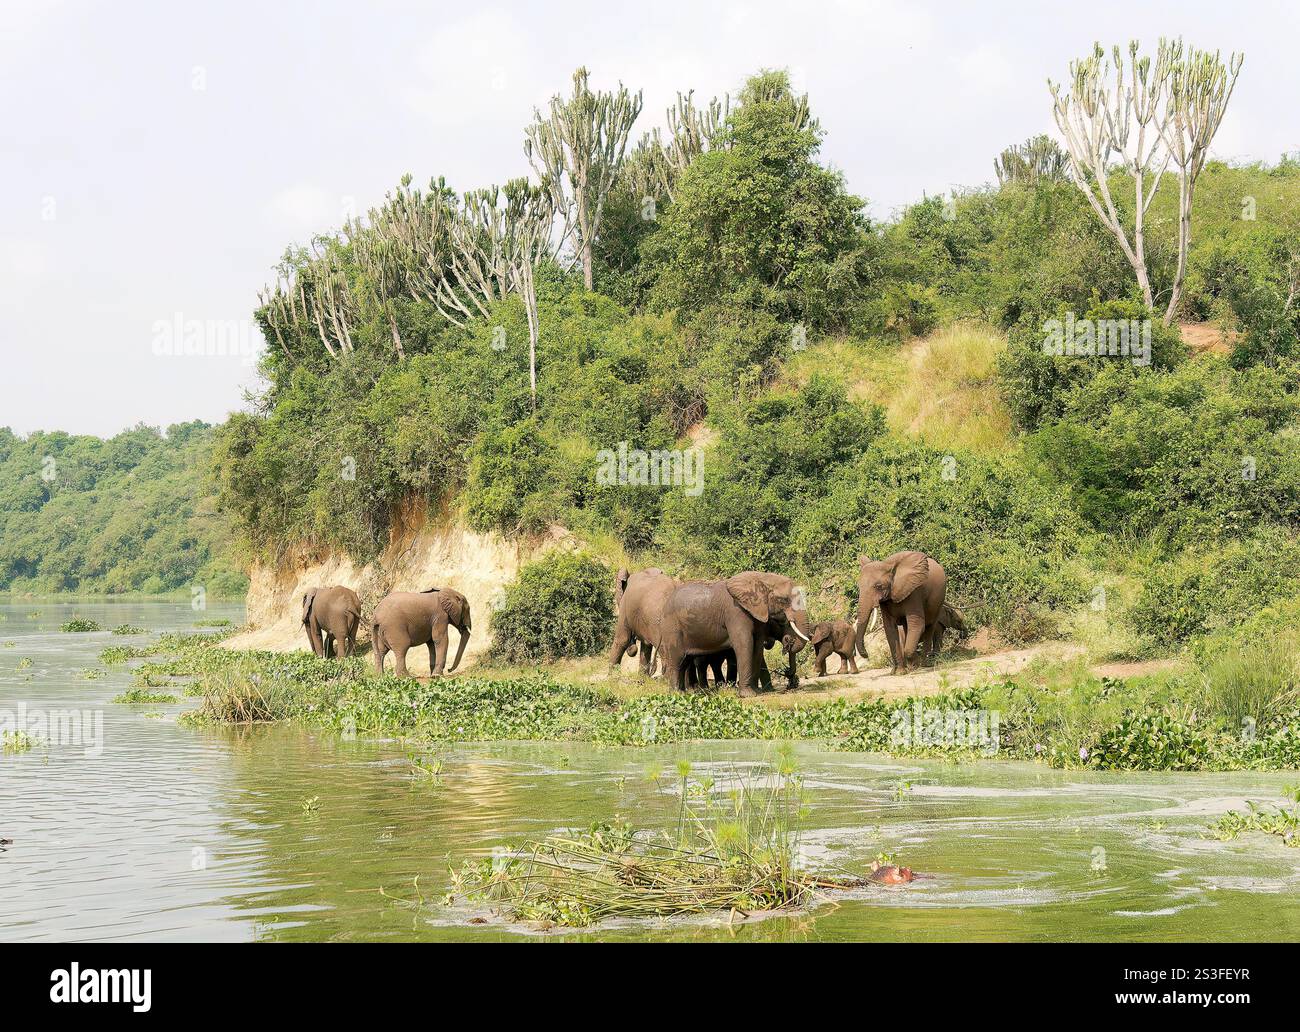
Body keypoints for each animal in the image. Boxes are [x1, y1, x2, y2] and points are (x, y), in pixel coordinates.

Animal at [658, 572, 813, 696]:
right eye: (783, 600)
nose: (788, 641)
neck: (762, 578)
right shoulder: (735, 612)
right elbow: (745, 644)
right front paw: (748, 695)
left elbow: (757, 647)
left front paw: (756, 691)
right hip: (672, 627)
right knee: (677, 659)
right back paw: (677, 694)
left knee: (685, 661)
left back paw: (683, 693)